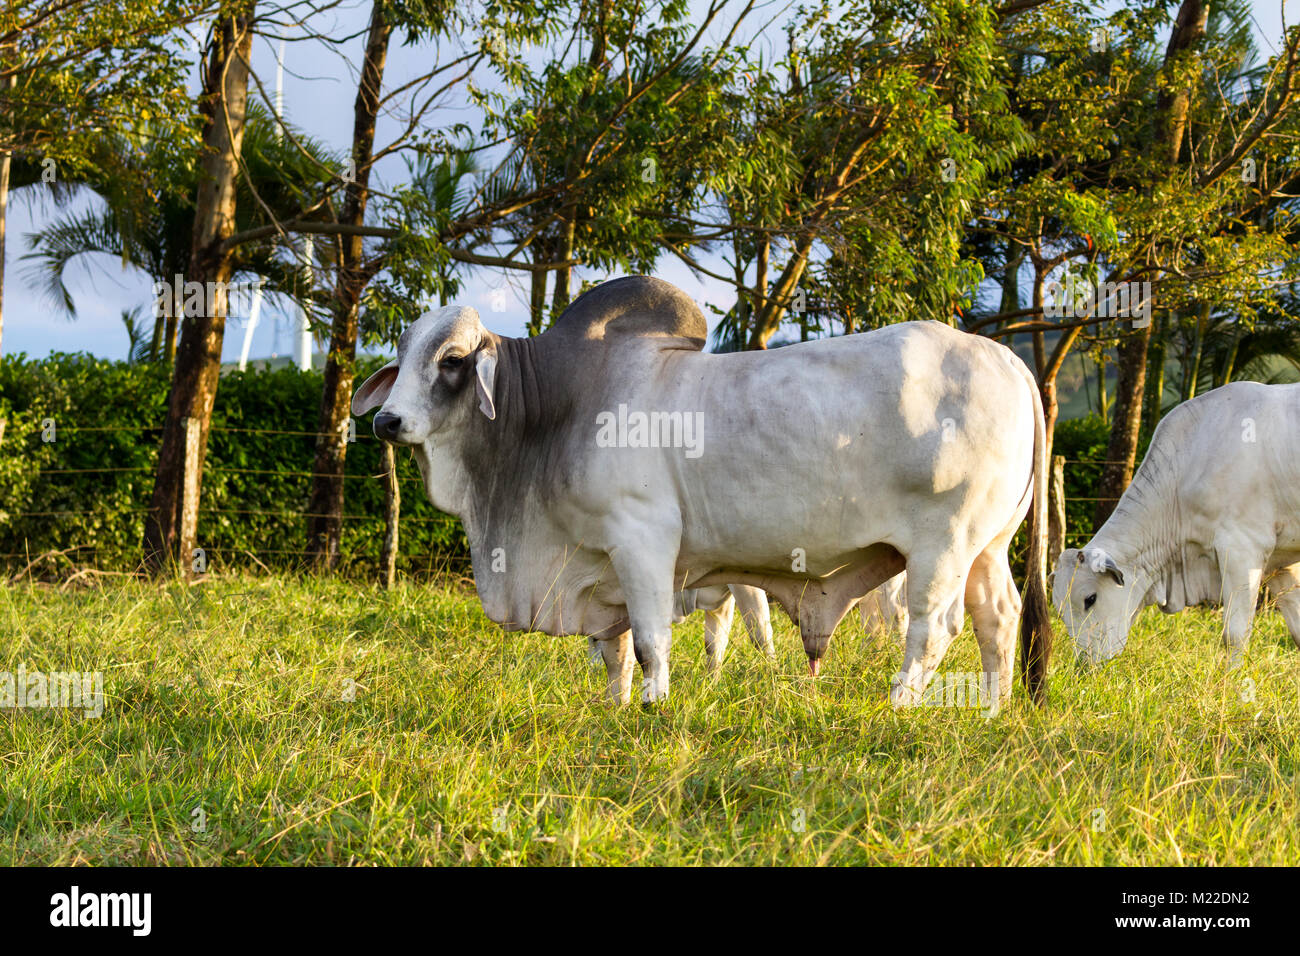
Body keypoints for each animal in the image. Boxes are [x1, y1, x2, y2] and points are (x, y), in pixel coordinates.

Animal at [351, 276, 1051, 707]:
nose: (386, 421)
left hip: (943, 545)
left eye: (451, 360)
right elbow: (613, 651)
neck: (556, 410)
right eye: (403, 357)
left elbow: (650, 640)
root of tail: (1011, 362)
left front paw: (654, 707)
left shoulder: (643, 541)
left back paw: (900, 705)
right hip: (989, 545)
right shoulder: (599, 564)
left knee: (933, 628)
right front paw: (616, 706)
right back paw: (993, 711)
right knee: (999, 618)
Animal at [1053, 381, 1300, 667]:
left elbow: (1235, 635)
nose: (1085, 664)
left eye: (1090, 599)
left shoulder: (1243, 549)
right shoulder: (1280, 564)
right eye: (1060, 611)